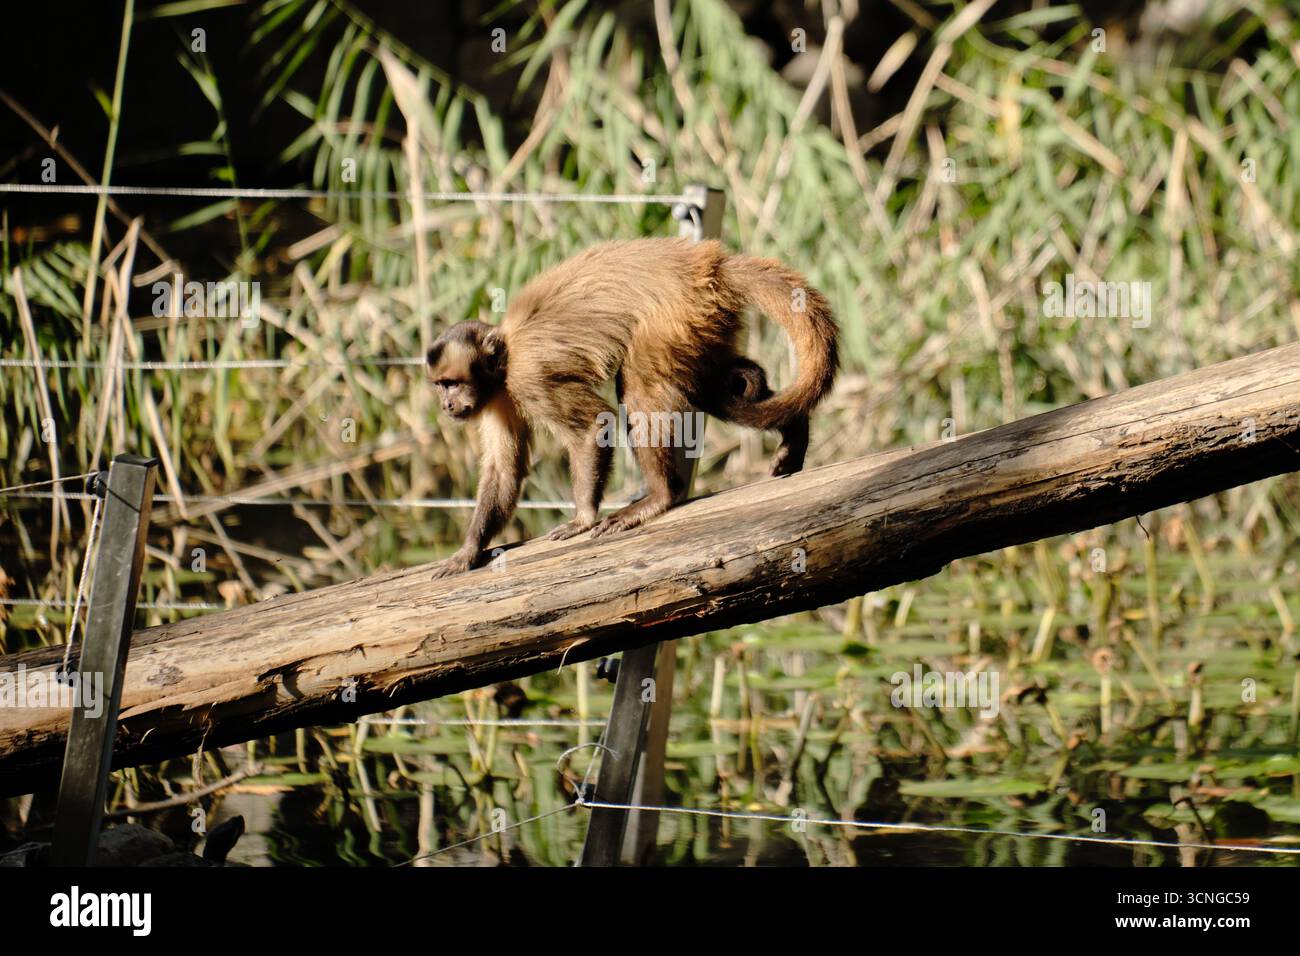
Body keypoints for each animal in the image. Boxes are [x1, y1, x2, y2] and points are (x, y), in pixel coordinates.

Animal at [425, 236, 838, 578]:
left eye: (453, 383)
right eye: (440, 386)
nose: (446, 405)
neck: (505, 358)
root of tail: (710, 264)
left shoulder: (528, 377)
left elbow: (594, 426)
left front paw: (583, 519)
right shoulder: (498, 398)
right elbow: (504, 470)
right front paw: (469, 552)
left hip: (675, 317)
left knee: (641, 386)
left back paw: (661, 496)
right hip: (703, 324)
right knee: (711, 388)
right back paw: (794, 434)